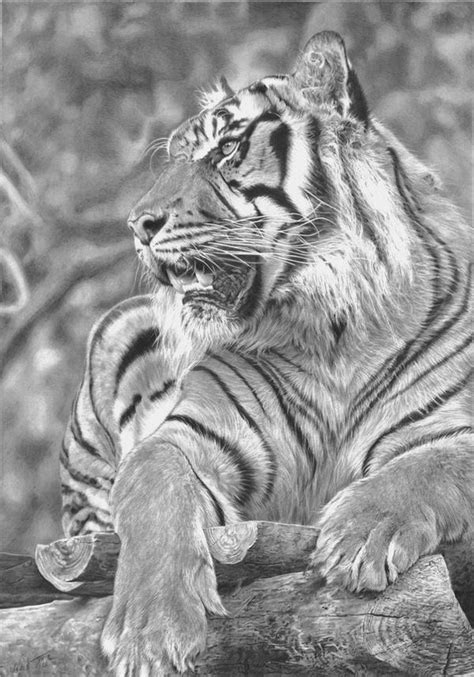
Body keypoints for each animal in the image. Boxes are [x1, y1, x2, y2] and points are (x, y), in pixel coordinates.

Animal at [60, 31, 473, 675]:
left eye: (227, 150)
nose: (137, 224)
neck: (332, 330)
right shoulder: (186, 437)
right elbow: (155, 492)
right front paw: (149, 632)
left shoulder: (448, 428)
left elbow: (426, 467)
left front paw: (359, 536)